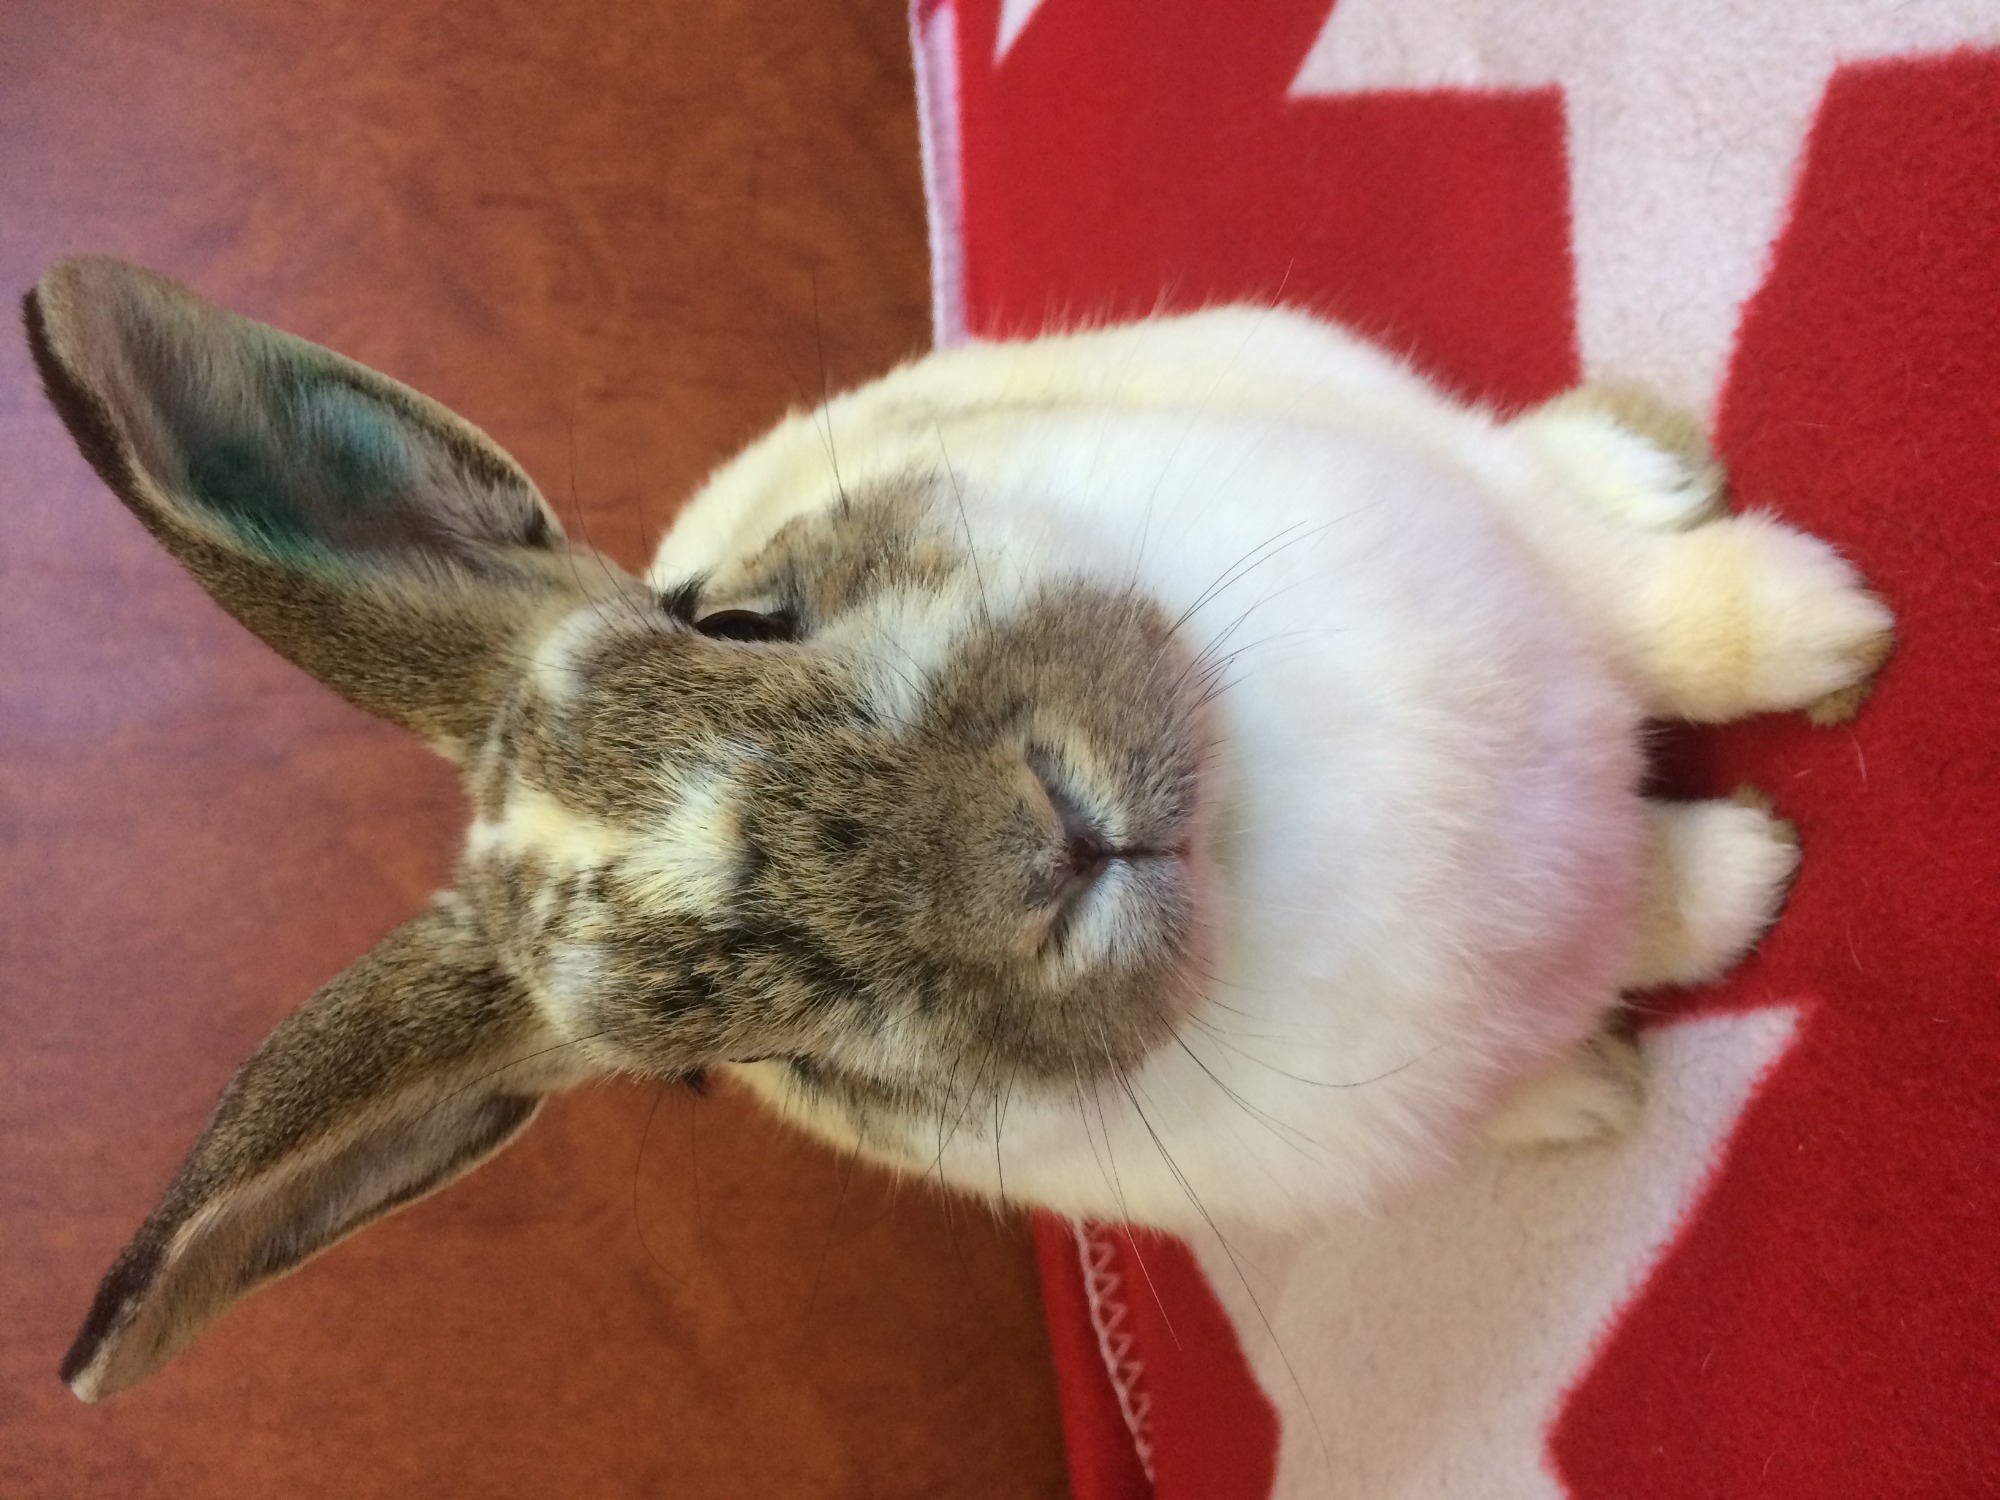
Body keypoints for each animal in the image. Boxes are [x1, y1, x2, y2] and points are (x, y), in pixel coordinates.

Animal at [26, 255, 1893, 1403]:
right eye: (733, 1062)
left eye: (733, 619)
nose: (1042, 850)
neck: (1247, 858)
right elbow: (1649, 889)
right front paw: (1744, 892)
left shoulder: (1486, 546)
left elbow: (1663, 621)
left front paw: (1840, 638)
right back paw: (1590, 1091)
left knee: (1568, 483)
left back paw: (1646, 465)